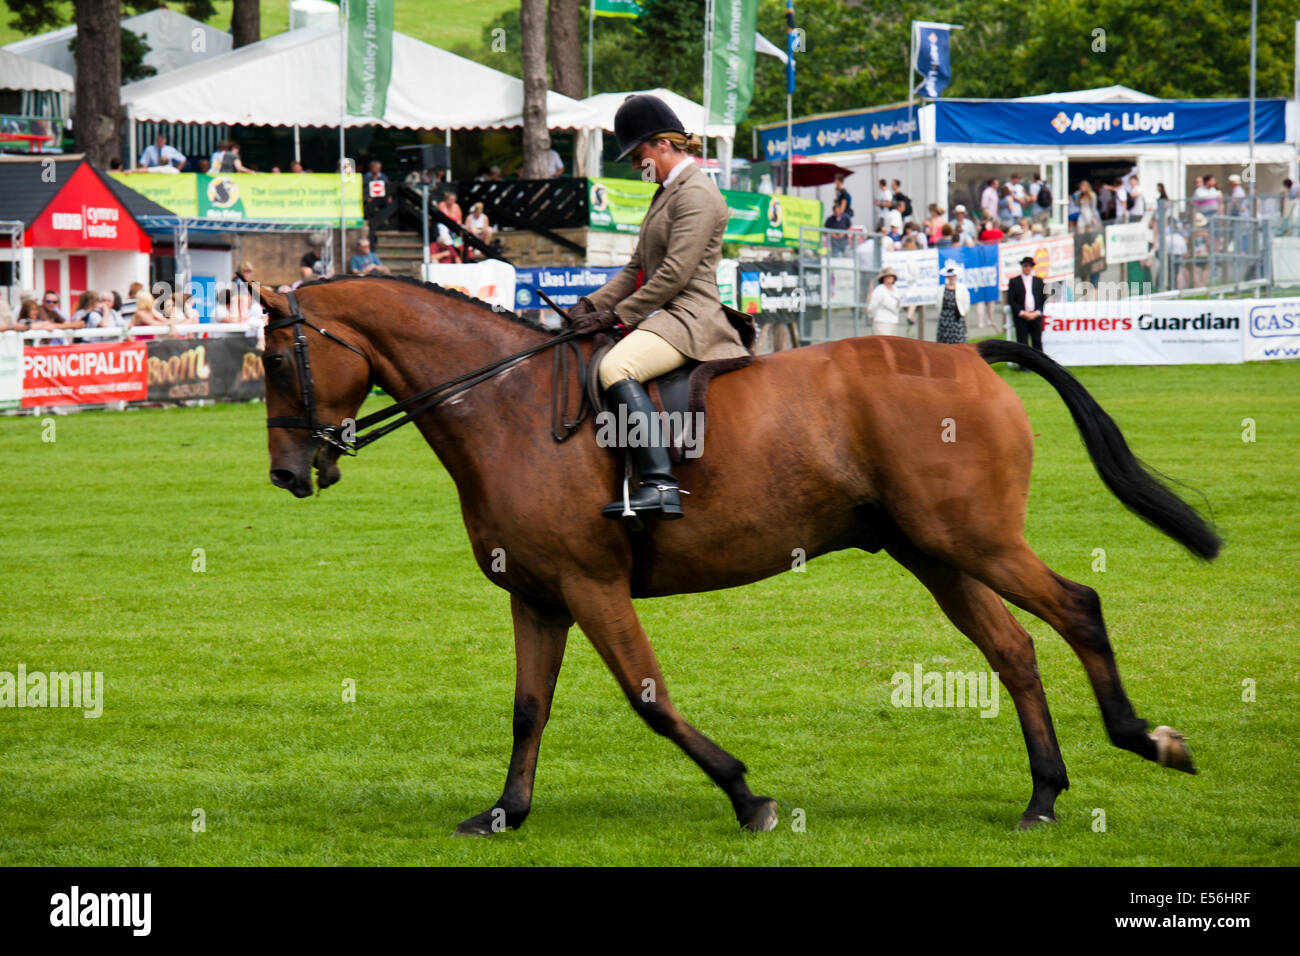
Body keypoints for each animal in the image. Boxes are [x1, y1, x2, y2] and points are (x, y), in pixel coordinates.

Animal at [255, 275, 1218, 835]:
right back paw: (1044, 795)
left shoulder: (591, 585)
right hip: (937, 554)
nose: (287, 474)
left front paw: (747, 796)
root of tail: (970, 358)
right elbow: (528, 710)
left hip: (974, 540)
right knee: (1014, 649)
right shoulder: (537, 595)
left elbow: (648, 698)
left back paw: (1146, 740)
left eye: (272, 359)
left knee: (1076, 609)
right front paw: (503, 812)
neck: (508, 406)